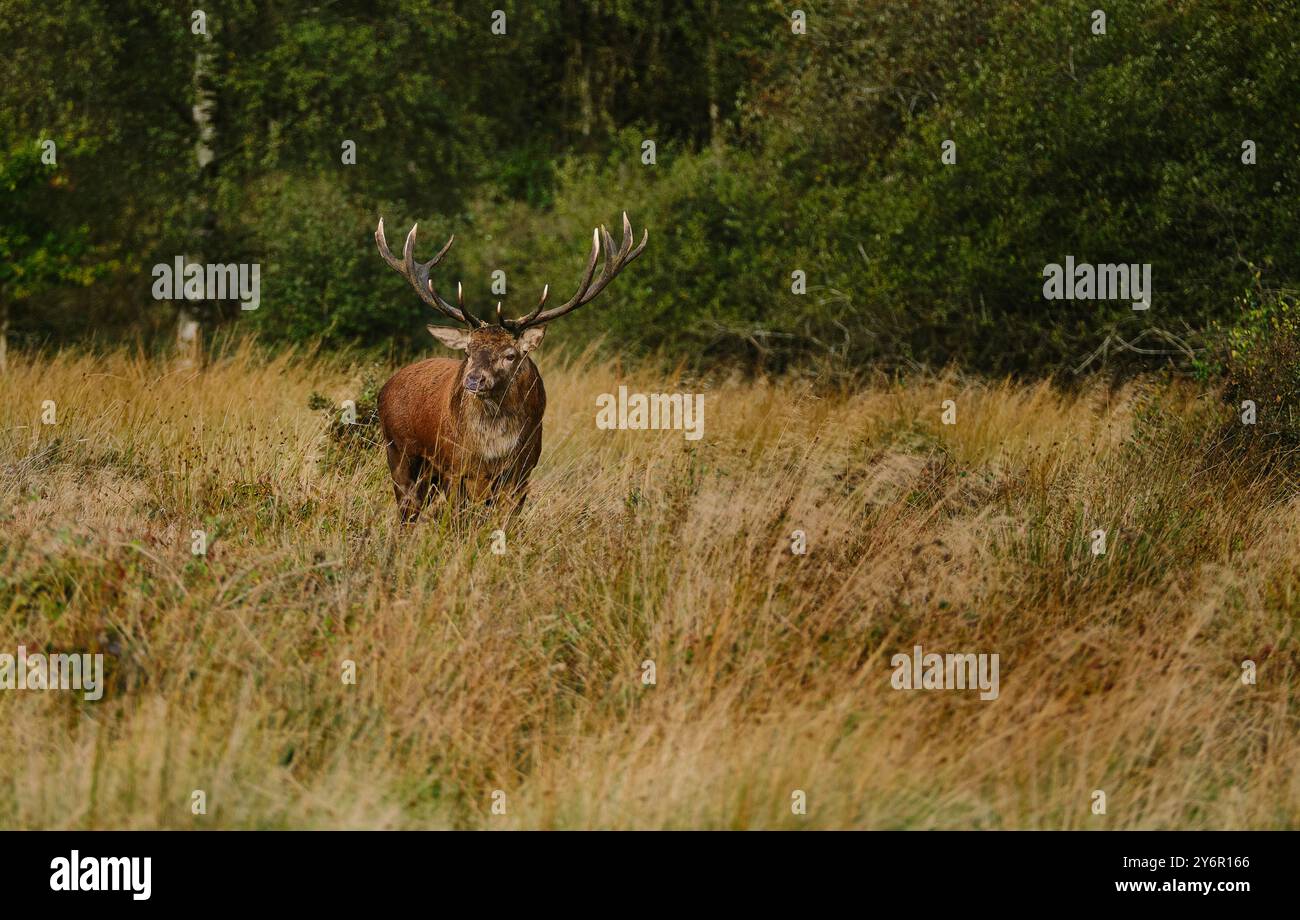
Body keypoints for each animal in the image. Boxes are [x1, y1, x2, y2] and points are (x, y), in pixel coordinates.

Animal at [373, 212, 648, 523]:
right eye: (468, 351)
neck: (494, 450)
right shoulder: (456, 467)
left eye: (510, 355)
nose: (474, 380)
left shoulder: (522, 470)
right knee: (407, 513)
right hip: (399, 453)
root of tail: (386, 387)